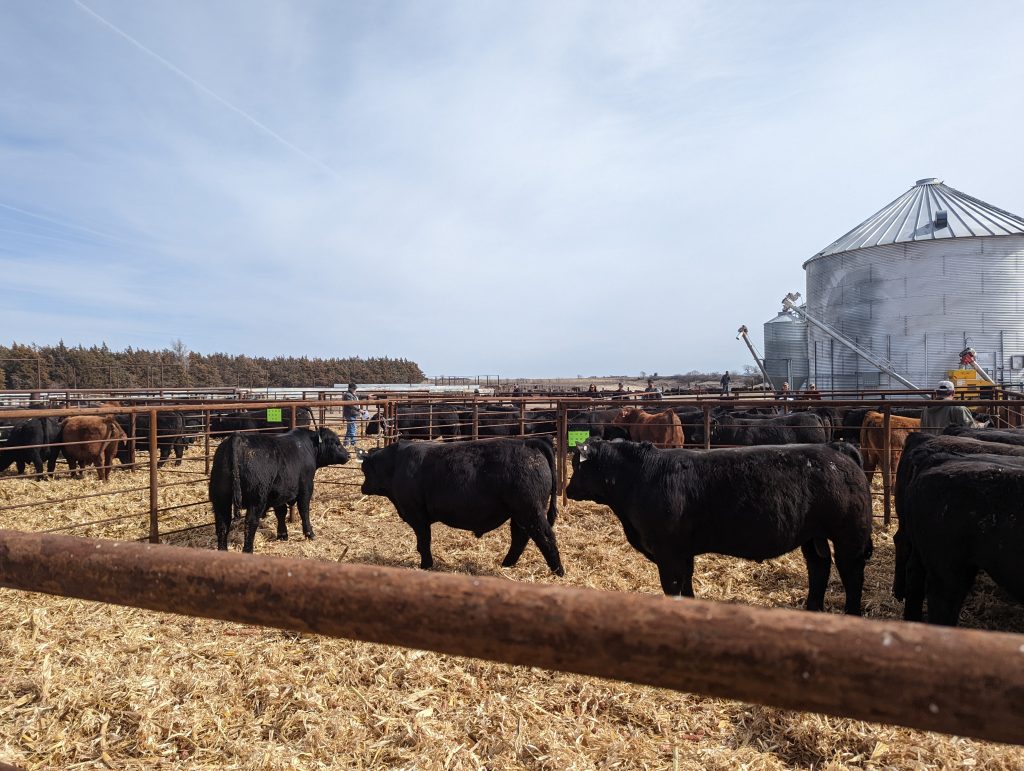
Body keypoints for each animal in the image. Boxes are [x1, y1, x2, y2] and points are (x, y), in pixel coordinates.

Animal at [209, 427, 350, 552]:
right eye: (336, 443)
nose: (348, 455)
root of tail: (237, 437)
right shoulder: (306, 485)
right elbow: (304, 510)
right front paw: (309, 533)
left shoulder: (279, 492)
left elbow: (281, 512)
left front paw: (282, 534)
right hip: (256, 499)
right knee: (250, 523)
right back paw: (248, 551)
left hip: (221, 498)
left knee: (222, 524)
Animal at [359, 437, 563, 576]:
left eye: (365, 469)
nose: (362, 487)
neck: (396, 465)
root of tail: (529, 442)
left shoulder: (417, 515)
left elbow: (423, 542)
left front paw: (426, 565)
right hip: (520, 514)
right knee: (520, 538)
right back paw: (506, 564)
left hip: (530, 510)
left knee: (546, 537)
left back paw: (558, 571)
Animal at [566, 438, 873, 613]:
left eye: (577, 465)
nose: (567, 489)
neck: (642, 476)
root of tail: (837, 449)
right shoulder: (683, 551)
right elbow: (686, 584)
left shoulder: (668, 552)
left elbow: (673, 586)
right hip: (812, 536)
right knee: (819, 568)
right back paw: (812, 611)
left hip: (849, 535)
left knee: (852, 573)